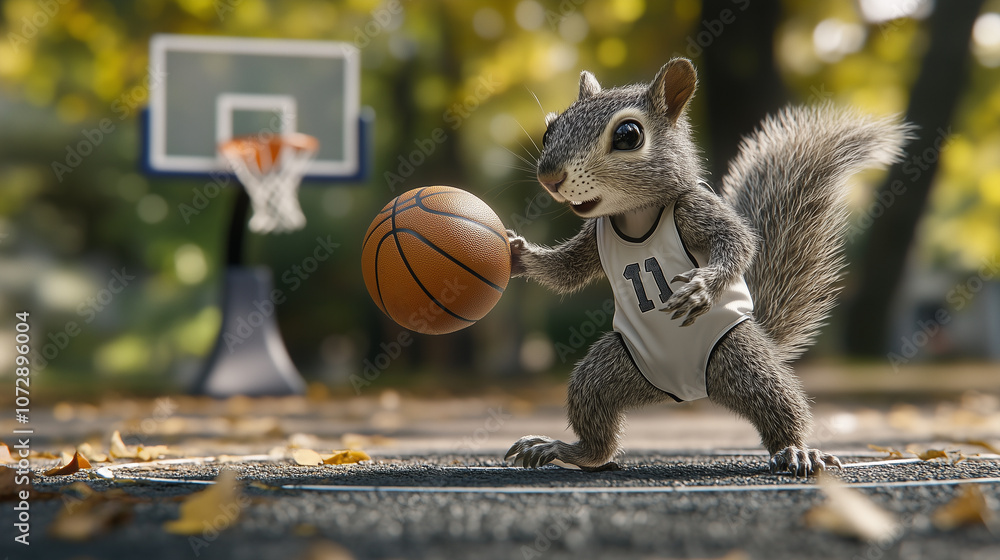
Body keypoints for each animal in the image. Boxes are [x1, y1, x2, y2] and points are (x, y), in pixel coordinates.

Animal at [504, 58, 912, 476]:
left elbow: (738, 243)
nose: (549, 178)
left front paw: (701, 286)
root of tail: (689, 393)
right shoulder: (594, 236)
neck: (637, 215)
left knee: (780, 405)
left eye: (628, 135)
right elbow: (566, 272)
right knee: (597, 429)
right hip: (608, 372)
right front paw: (517, 253)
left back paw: (796, 450)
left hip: (743, 358)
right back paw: (565, 450)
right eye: (549, 129)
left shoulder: (694, 208)